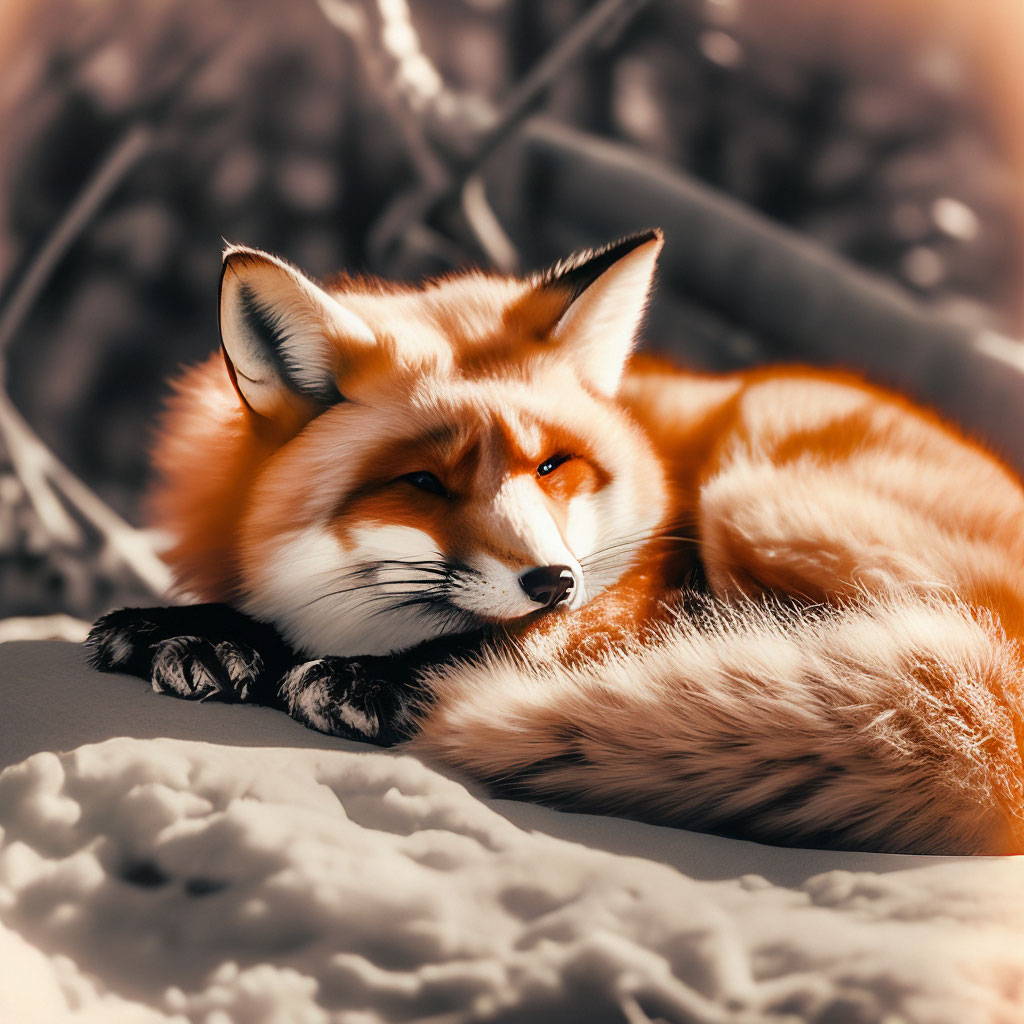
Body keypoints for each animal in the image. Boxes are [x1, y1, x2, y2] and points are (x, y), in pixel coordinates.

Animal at [88, 229, 1024, 855]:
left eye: (551, 465)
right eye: (424, 482)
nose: (554, 581)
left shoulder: (638, 590)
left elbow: (504, 646)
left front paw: (356, 676)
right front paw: (197, 631)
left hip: (758, 496)